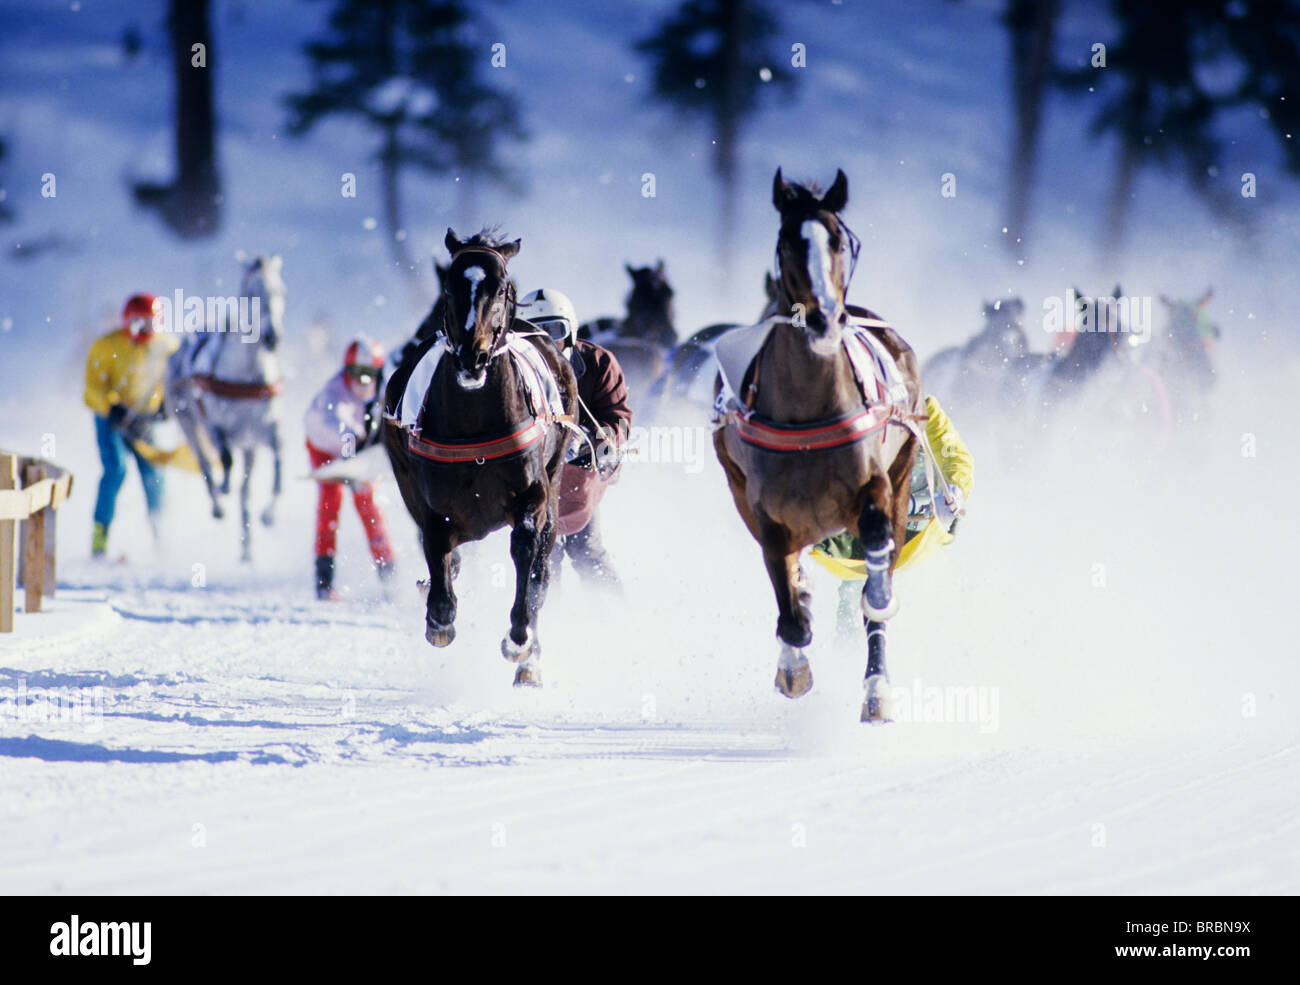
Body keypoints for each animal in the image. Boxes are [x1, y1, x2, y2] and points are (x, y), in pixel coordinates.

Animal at [167, 254, 286, 562]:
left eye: (280, 292)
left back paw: (246, 547)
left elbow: (279, 462)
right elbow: (224, 459)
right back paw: (218, 504)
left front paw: (269, 515)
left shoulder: (266, 431)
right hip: (187, 421)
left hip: (249, 446)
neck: (245, 377)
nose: (273, 337)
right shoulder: (215, 426)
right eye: (252, 294)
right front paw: (223, 488)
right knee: (204, 461)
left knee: (245, 491)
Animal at [383, 229, 578, 687]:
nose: (473, 355)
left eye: (502, 286)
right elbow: (437, 546)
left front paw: (520, 639)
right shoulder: (430, 497)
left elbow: (527, 548)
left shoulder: (534, 491)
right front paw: (440, 618)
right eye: (450, 286)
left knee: (542, 563)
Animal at [713, 169, 923, 722]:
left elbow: (875, 560)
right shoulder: (763, 506)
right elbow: (789, 604)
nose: (826, 318)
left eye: (837, 240)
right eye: (789, 241)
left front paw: (876, 595)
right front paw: (794, 665)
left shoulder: (874, 482)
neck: (807, 410)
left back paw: (876, 687)